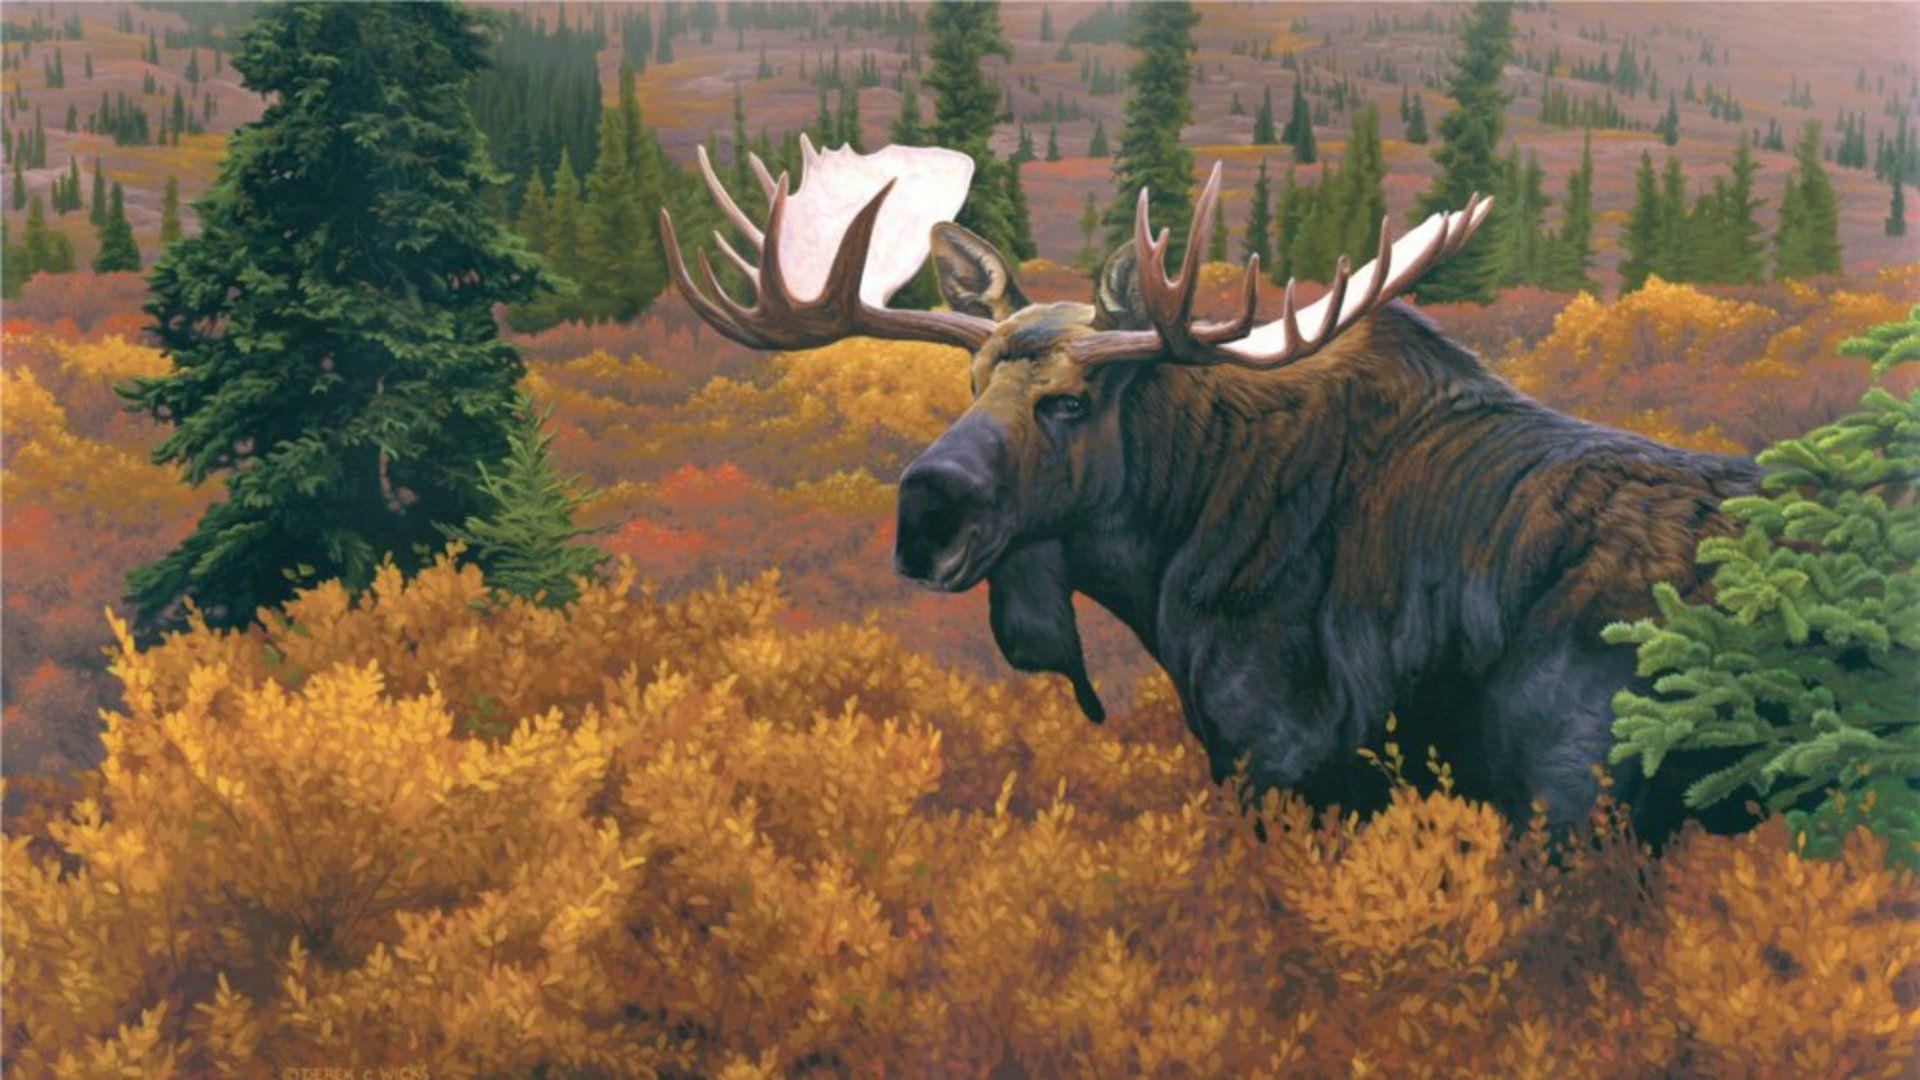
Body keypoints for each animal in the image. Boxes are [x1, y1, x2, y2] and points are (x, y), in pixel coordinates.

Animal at [659, 139, 1760, 836]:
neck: (1167, 550)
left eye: (1069, 402)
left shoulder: (1276, 756)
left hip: (1578, 794)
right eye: (971, 384)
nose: (924, 512)